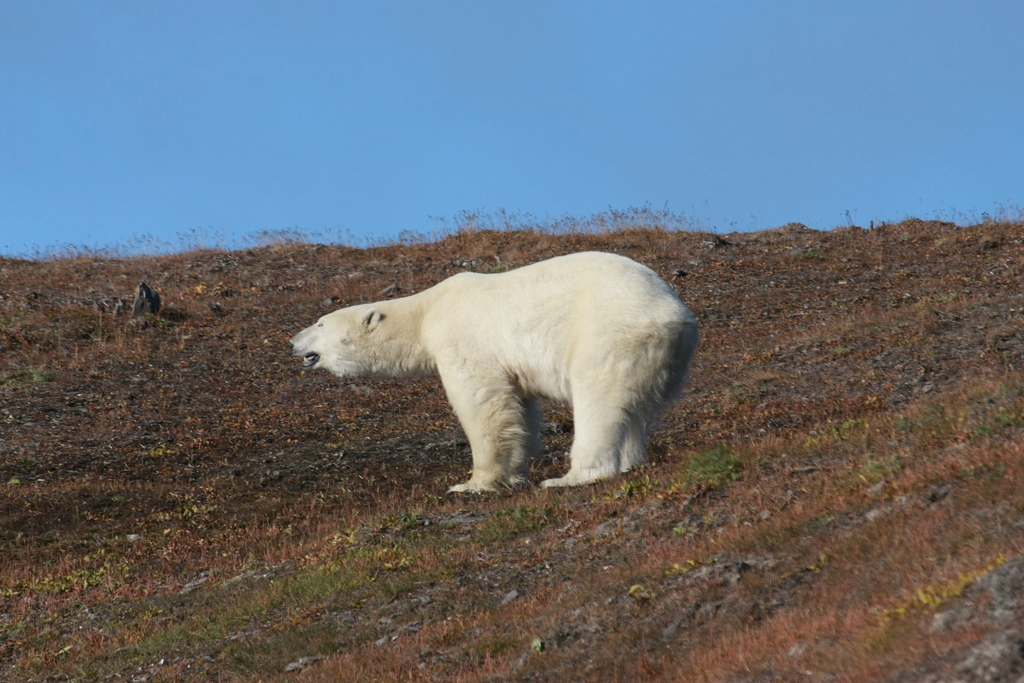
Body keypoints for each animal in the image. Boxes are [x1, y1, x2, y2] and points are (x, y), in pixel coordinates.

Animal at [289, 251, 698, 492]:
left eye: (320, 323)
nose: (293, 342)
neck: (427, 312)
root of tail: (674, 312)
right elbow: (519, 408)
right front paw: (516, 473)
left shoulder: (463, 339)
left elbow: (482, 403)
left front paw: (474, 483)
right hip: (664, 357)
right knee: (641, 407)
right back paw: (631, 462)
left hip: (607, 331)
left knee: (599, 398)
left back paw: (572, 477)